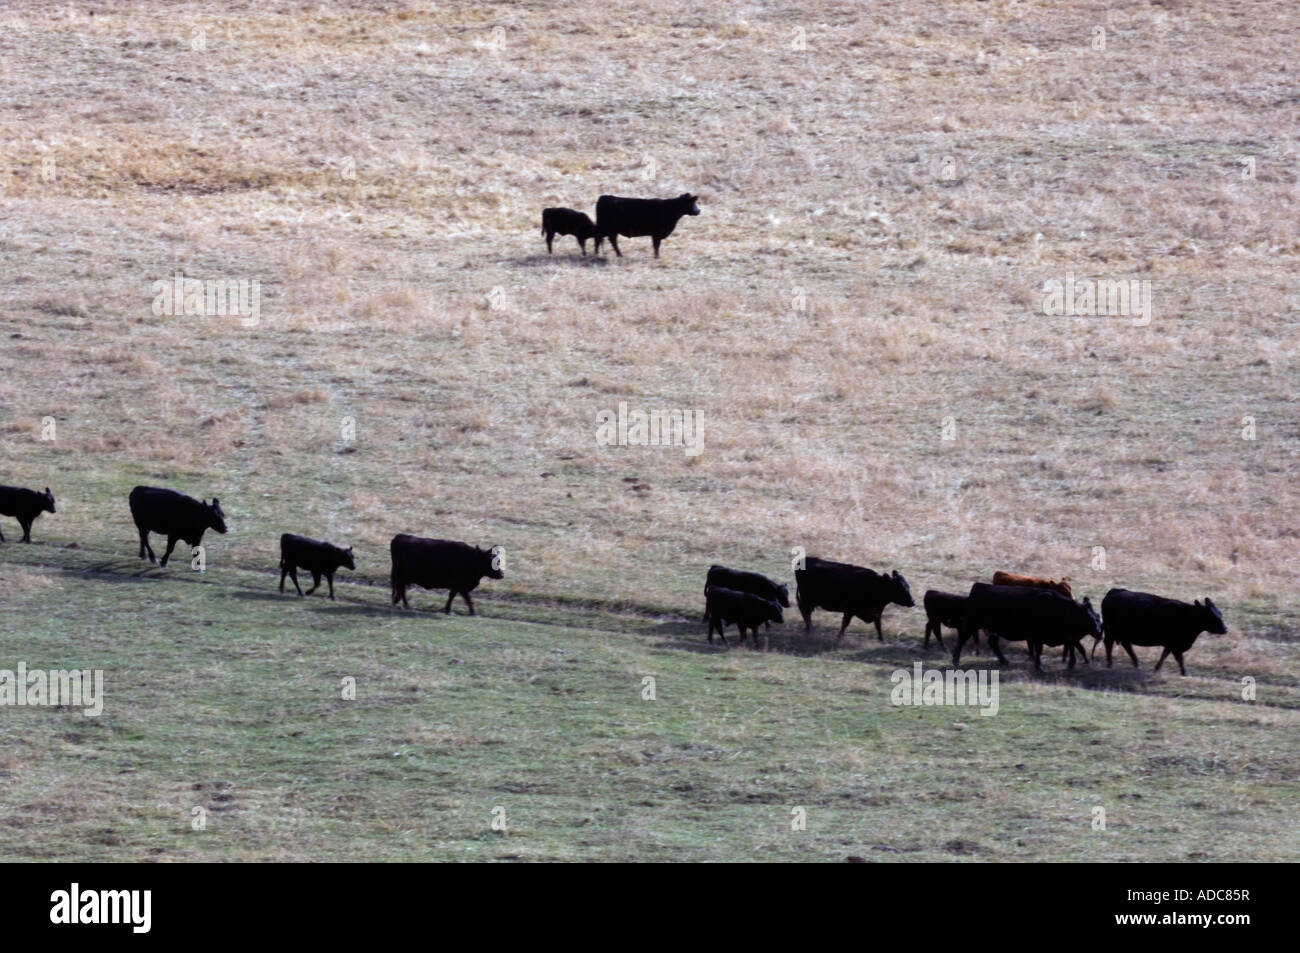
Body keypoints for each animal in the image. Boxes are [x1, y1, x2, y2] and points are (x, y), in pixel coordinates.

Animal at [954, 583, 1100, 670]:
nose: (1099, 632)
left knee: (993, 643)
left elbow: (1075, 648)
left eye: (1098, 617)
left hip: (993, 630)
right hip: (971, 624)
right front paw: (1039, 667)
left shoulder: (1067, 637)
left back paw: (1004, 661)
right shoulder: (1039, 636)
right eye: (1089, 617)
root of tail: (978, 586)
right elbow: (1039, 651)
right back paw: (955, 660)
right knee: (961, 640)